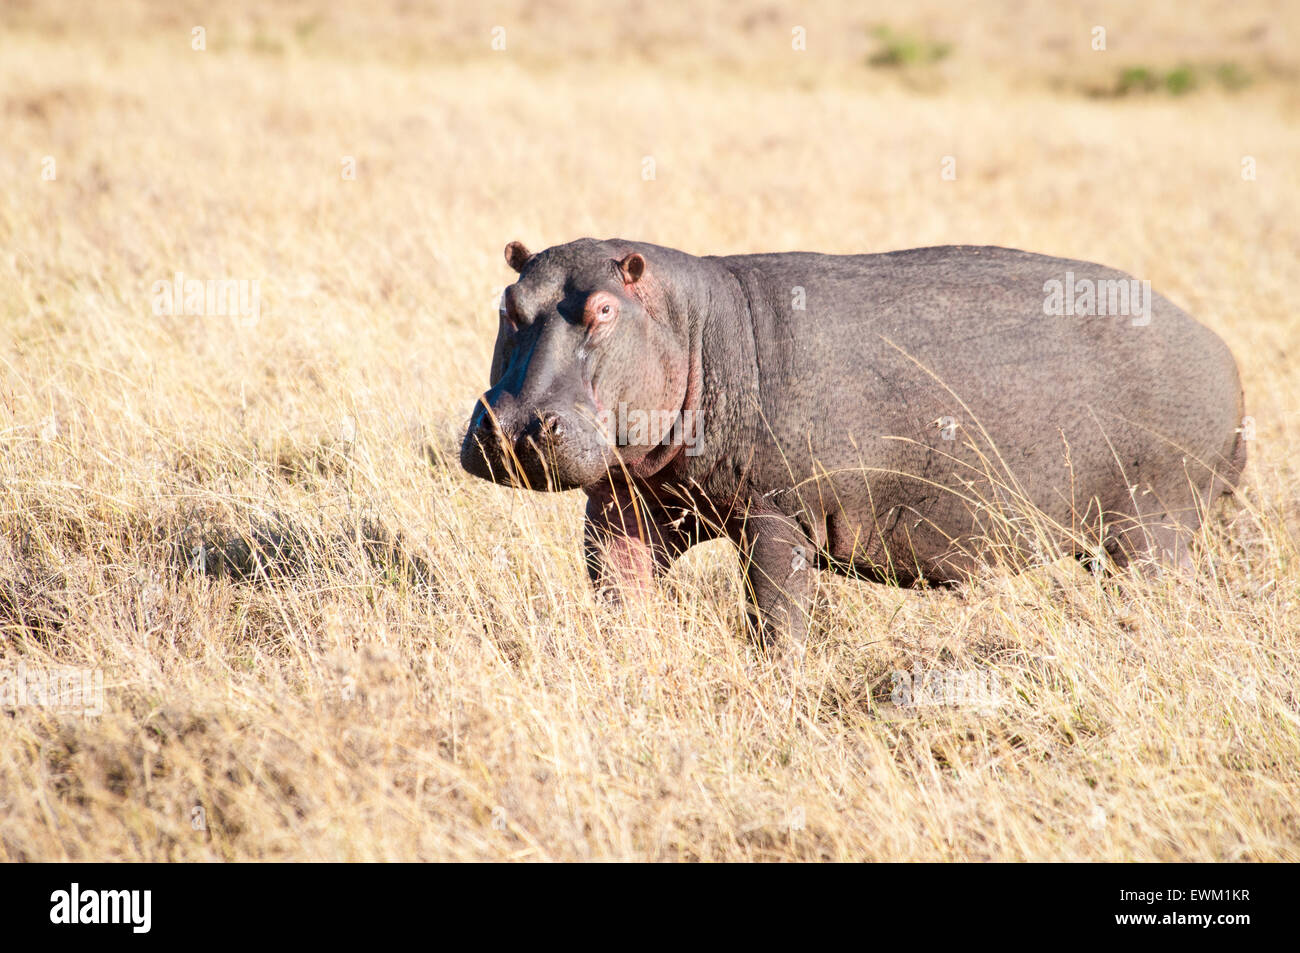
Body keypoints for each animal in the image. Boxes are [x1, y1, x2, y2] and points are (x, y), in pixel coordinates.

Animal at [461, 238, 1246, 646]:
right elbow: (617, 588)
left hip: (1151, 528)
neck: (694, 326)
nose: (514, 425)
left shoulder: (777, 514)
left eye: (602, 310)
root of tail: (1222, 351)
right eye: (508, 304)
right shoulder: (628, 498)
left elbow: (777, 616)